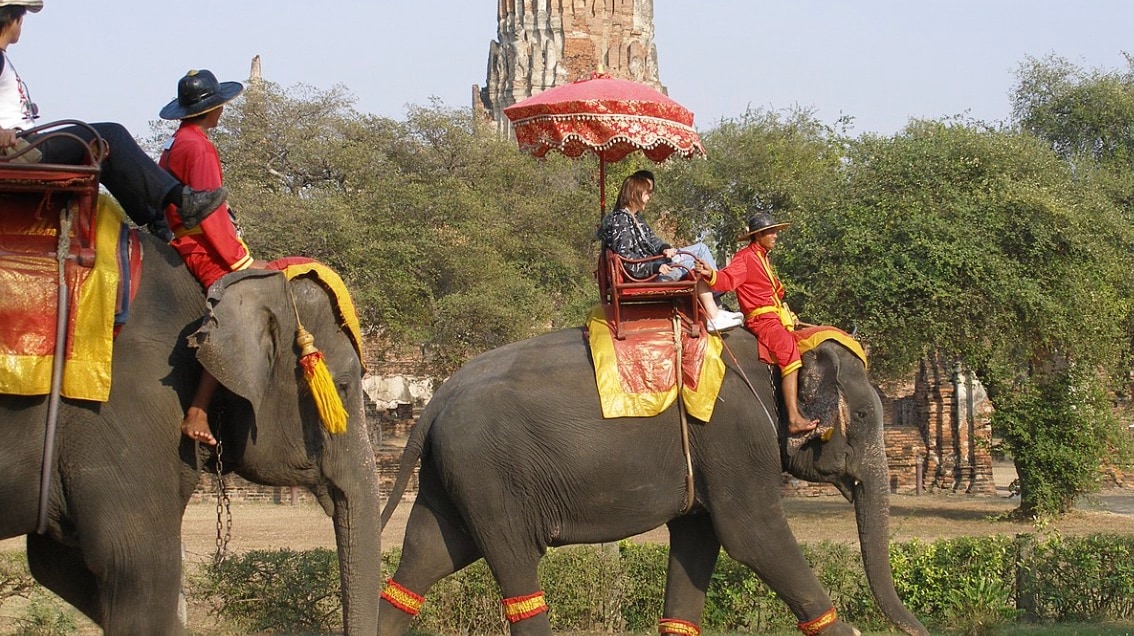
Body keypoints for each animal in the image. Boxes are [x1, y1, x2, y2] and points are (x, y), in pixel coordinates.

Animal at [379, 326, 928, 636]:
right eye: (863, 414)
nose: (920, 631)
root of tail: (439, 396)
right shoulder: (733, 435)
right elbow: (752, 536)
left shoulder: (709, 455)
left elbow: (699, 540)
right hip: (490, 475)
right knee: (515, 567)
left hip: (453, 476)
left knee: (426, 558)